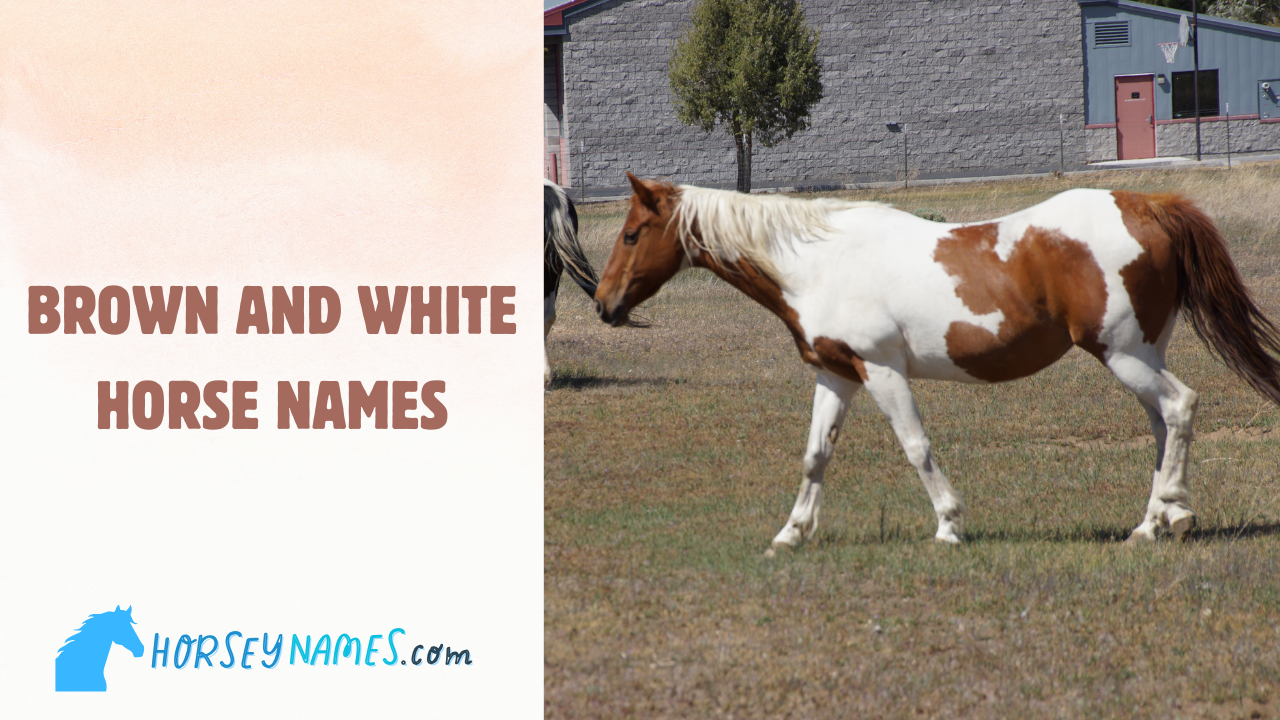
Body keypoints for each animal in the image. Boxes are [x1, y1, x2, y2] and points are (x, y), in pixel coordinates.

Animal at [594, 172, 1280, 550]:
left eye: (630, 234)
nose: (603, 304)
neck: (818, 261)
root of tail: (1149, 203)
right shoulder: (835, 373)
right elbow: (816, 455)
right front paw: (791, 534)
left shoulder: (881, 371)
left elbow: (916, 447)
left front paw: (950, 525)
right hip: (1141, 353)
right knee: (1163, 425)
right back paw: (1164, 517)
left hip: (1123, 353)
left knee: (1180, 406)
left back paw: (1160, 519)